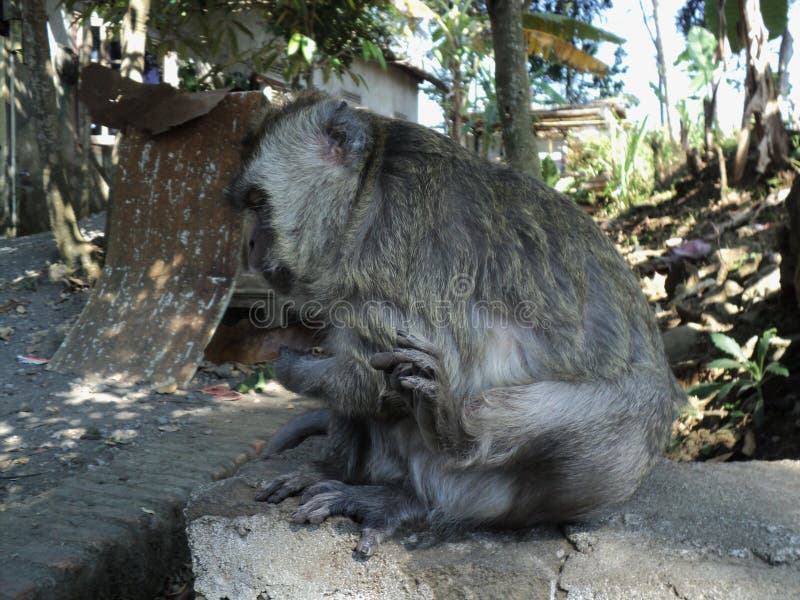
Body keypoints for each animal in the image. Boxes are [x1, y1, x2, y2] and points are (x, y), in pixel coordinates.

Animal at [226, 92, 681, 557]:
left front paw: (292, 367)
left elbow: (375, 377)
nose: (249, 244)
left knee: (632, 404)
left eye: (259, 203)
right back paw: (368, 482)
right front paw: (328, 459)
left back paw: (450, 440)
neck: (364, 191)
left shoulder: (392, 249)